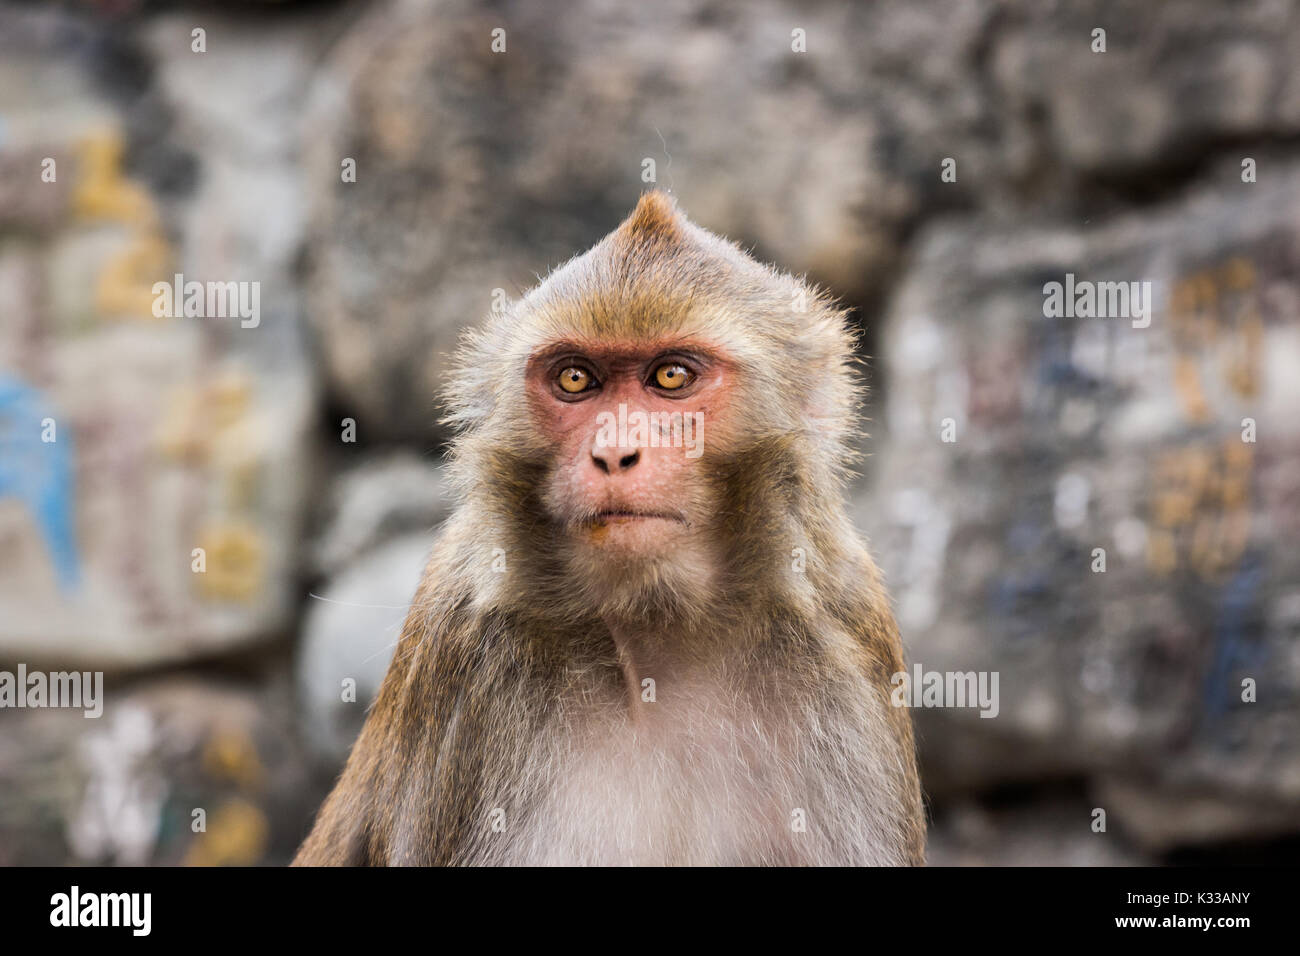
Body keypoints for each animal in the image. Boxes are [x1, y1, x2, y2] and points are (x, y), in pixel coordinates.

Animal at [293, 190, 926, 866]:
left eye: (671, 376)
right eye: (576, 379)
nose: (614, 453)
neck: (651, 636)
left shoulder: (844, 656)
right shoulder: (460, 647)